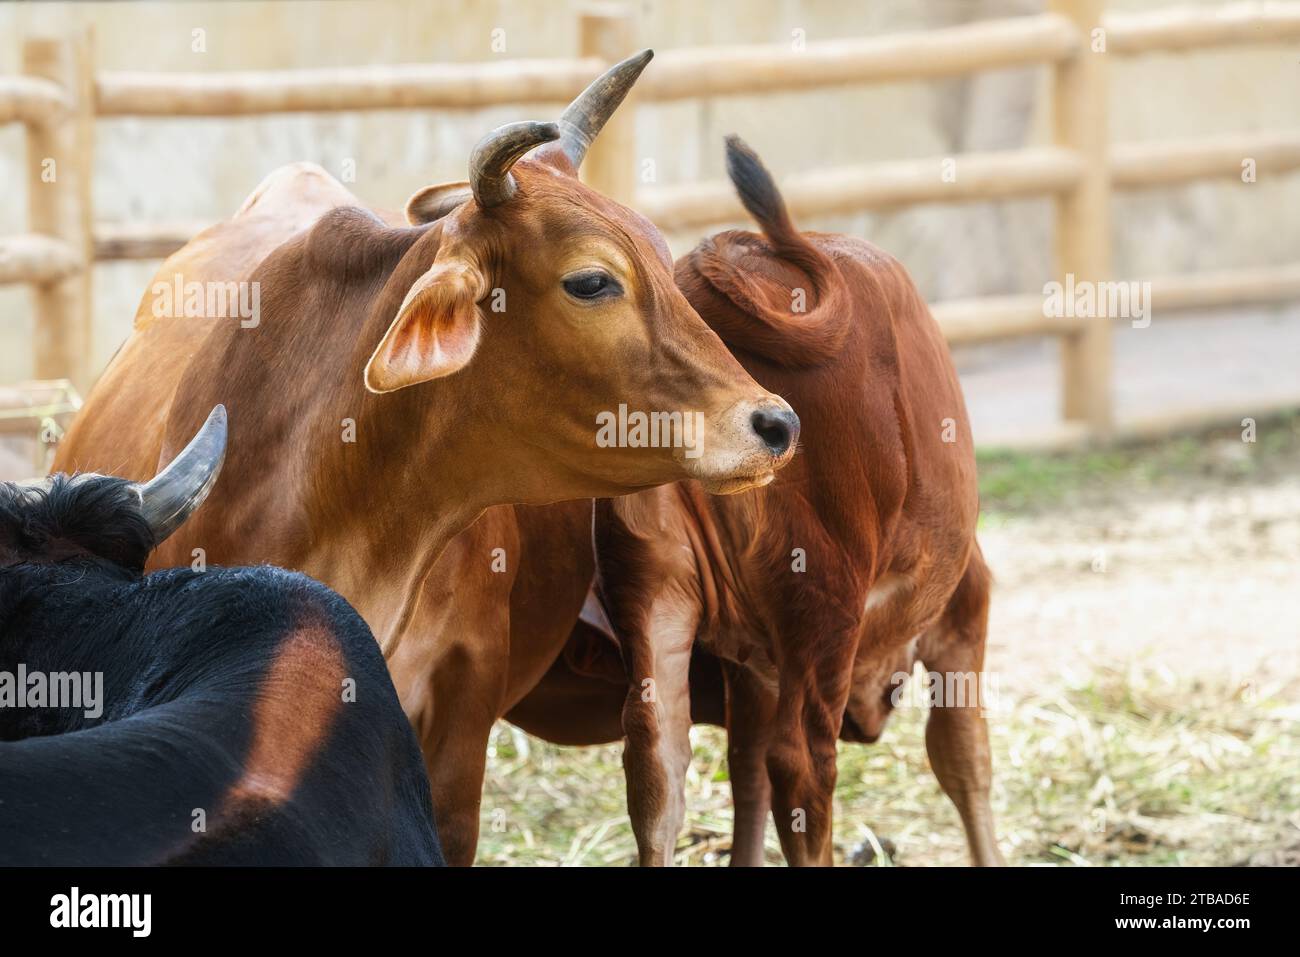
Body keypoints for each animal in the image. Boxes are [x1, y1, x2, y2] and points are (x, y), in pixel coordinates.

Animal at [507, 136, 1004, 867]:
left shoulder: (751, 664)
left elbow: (743, 772)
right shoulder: (963, 611)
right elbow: (965, 761)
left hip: (655, 588)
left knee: (658, 766)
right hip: (823, 598)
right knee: (803, 768)